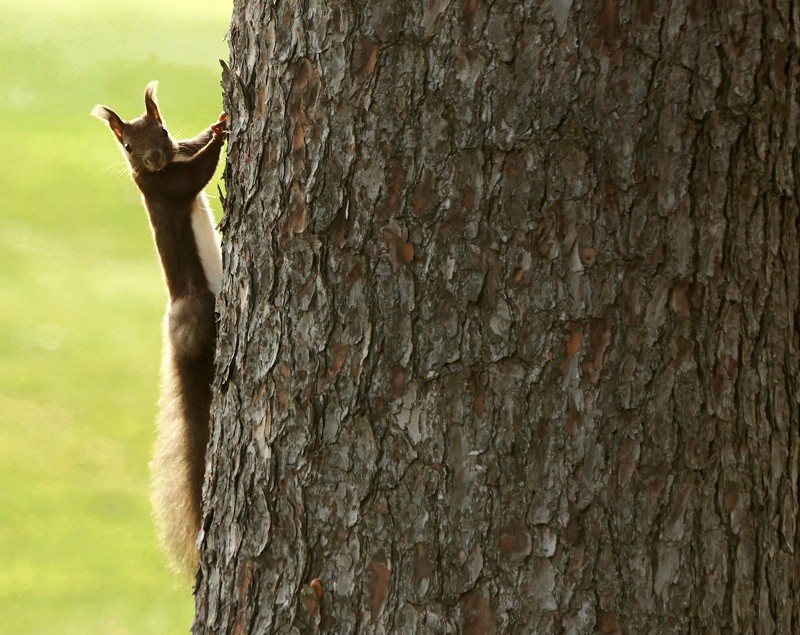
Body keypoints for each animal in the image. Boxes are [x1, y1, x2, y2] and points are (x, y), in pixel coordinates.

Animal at [91, 82, 227, 577]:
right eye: (127, 146)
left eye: (163, 130)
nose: (152, 157)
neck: (164, 166)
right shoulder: (163, 187)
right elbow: (198, 174)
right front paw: (222, 136)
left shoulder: (178, 152)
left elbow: (193, 147)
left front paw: (217, 121)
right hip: (197, 311)